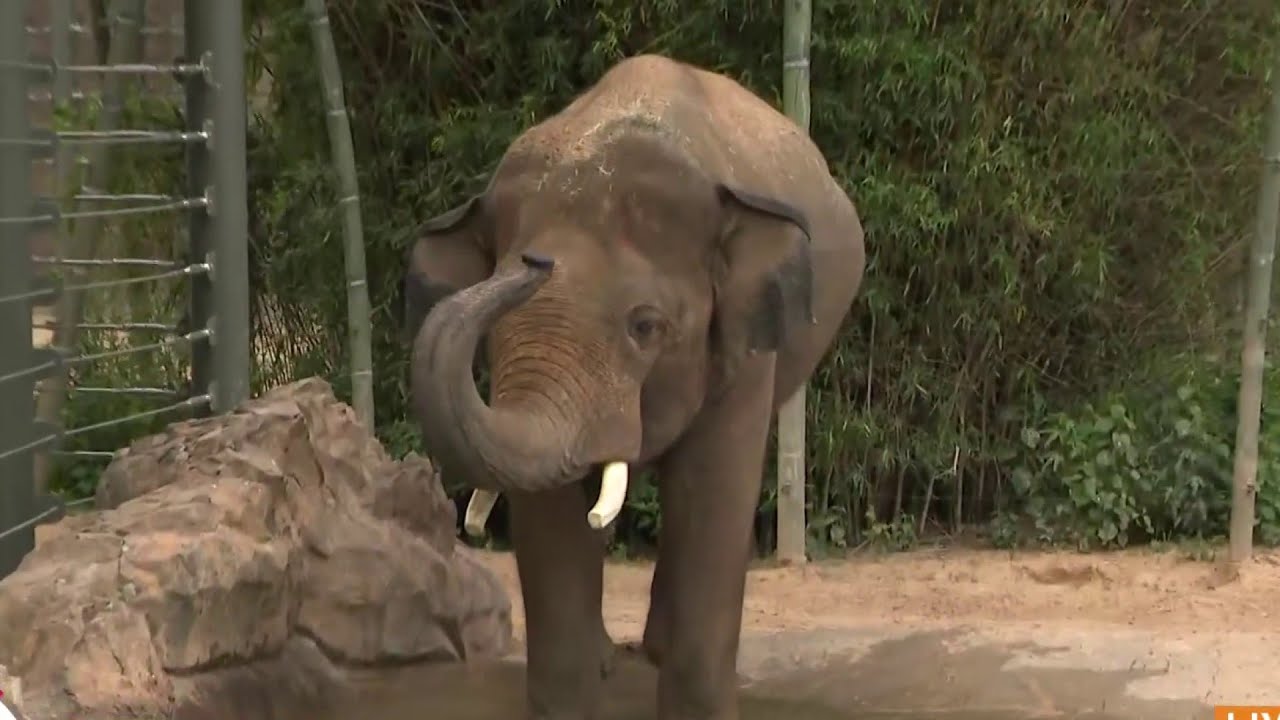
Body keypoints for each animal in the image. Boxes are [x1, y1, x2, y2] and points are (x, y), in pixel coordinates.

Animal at [402, 54, 866, 719]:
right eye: (492, 337)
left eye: (647, 327)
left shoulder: (745, 351)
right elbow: (551, 522)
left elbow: (712, 493)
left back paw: (654, 650)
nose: (534, 263)